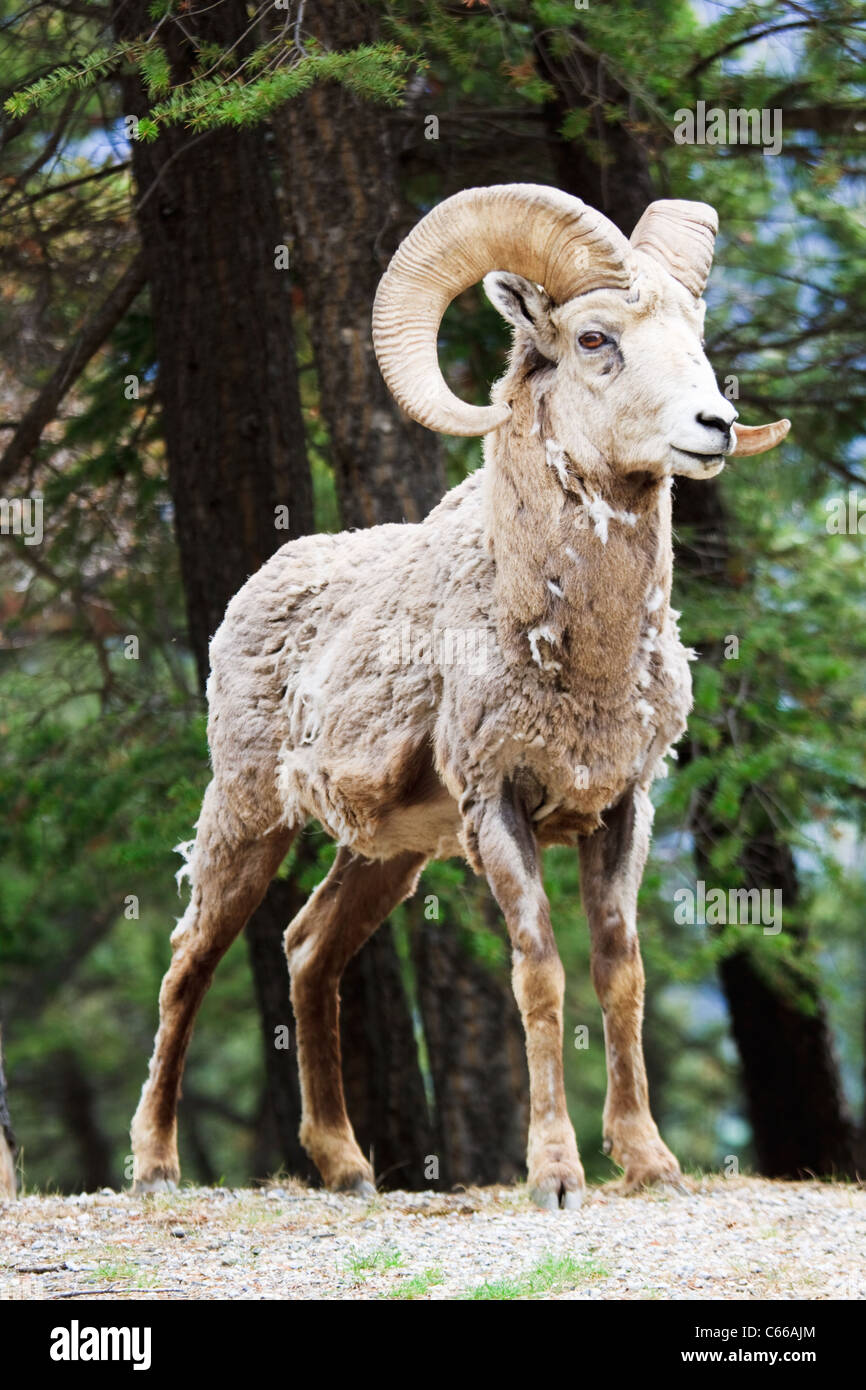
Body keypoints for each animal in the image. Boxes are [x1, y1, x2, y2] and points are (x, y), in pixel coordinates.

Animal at [131, 184, 789, 1208]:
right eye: (596, 338)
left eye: (695, 331)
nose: (714, 425)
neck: (576, 654)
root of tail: (258, 588)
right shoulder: (498, 807)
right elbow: (542, 974)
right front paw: (556, 1177)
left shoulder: (620, 810)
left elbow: (621, 973)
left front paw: (650, 1165)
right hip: (248, 817)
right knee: (187, 961)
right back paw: (156, 1166)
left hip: (389, 857)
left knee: (308, 949)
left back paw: (348, 1169)